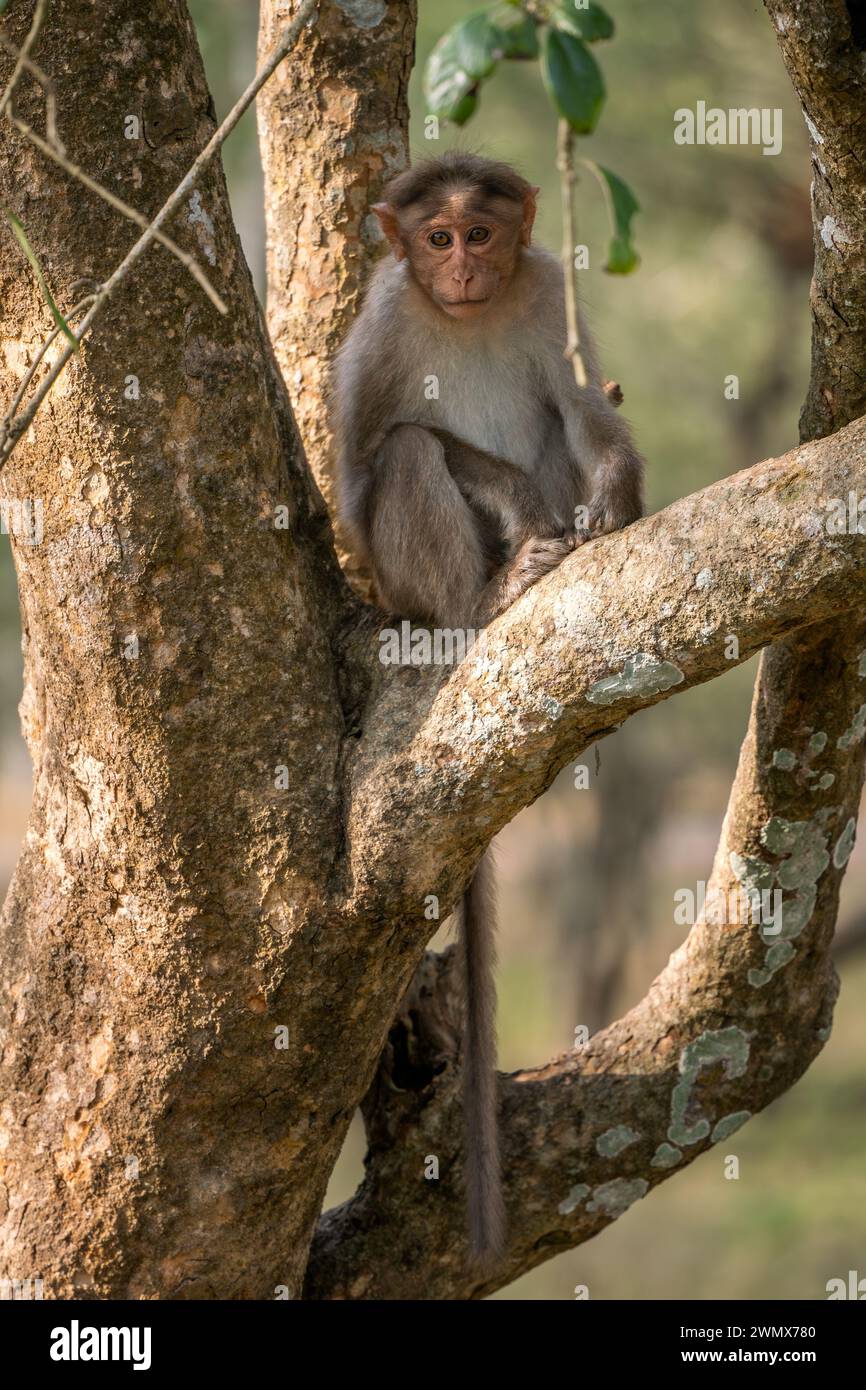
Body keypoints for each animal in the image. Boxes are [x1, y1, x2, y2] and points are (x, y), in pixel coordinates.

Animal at [331, 152, 645, 1267]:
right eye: (437, 239)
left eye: (483, 235)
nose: (463, 270)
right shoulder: (381, 325)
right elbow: (361, 470)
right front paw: (513, 504)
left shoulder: (544, 288)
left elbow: (585, 407)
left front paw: (614, 494)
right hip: (423, 590)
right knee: (409, 454)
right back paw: (491, 592)